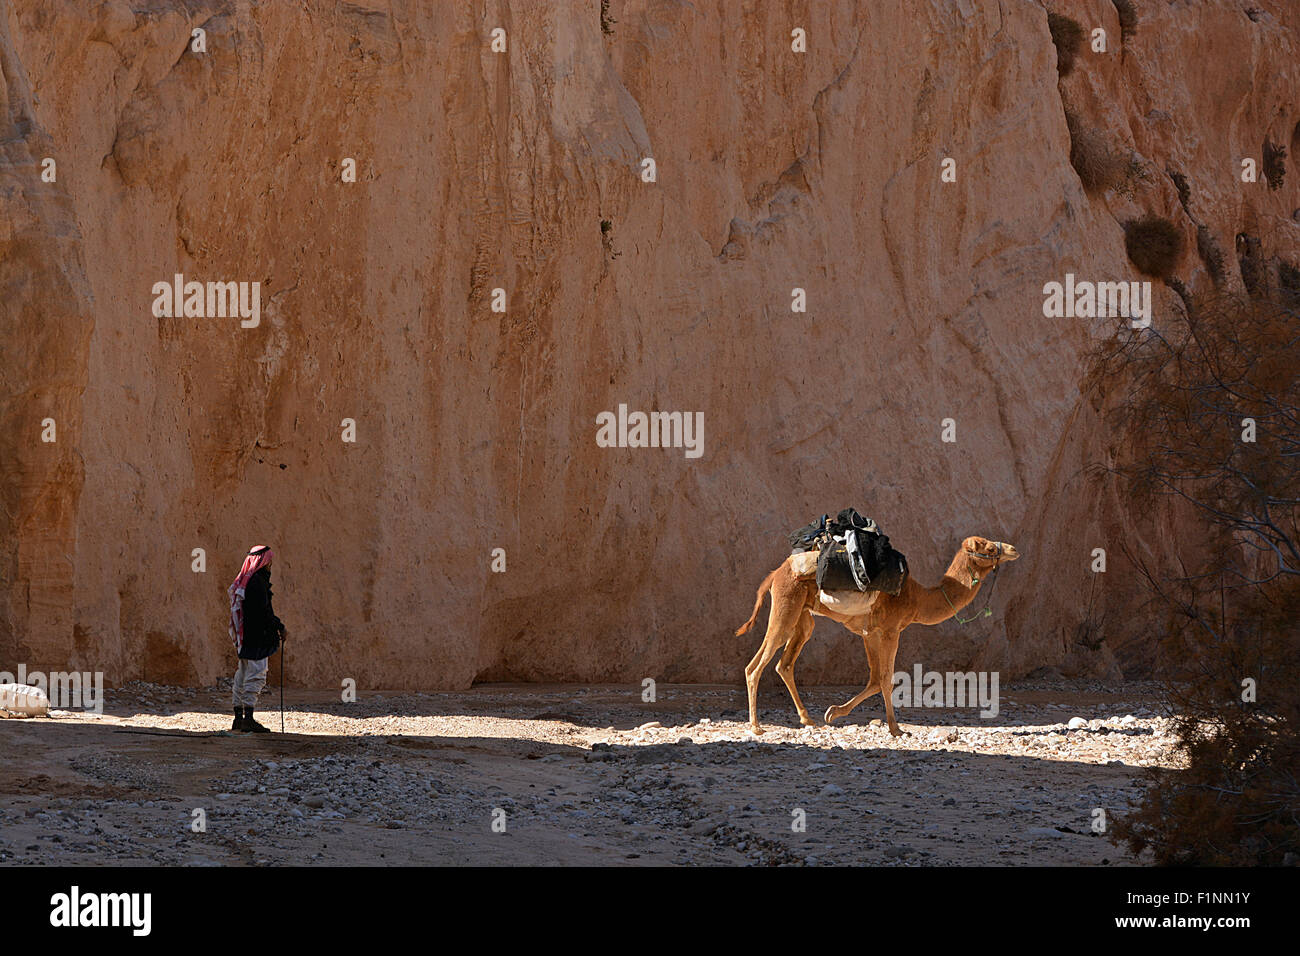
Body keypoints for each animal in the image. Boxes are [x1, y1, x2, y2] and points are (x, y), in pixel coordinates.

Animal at [736, 536, 1019, 736]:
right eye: (989, 549)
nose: (1013, 549)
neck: (917, 598)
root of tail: (775, 574)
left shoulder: (869, 633)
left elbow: (874, 678)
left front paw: (833, 713)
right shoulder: (891, 631)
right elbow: (885, 678)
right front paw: (896, 728)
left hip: (802, 618)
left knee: (784, 664)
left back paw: (807, 719)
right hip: (786, 606)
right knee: (755, 666)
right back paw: (756, 726)